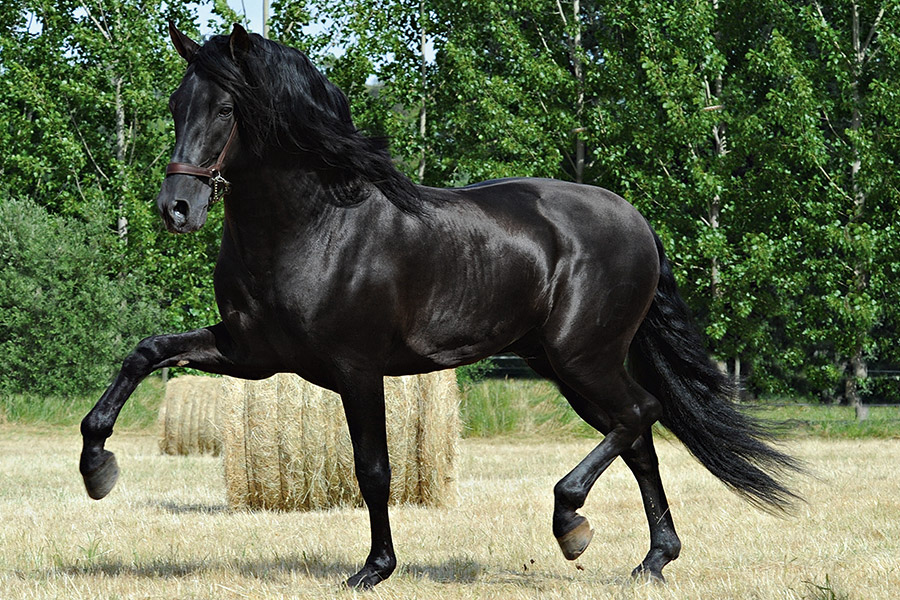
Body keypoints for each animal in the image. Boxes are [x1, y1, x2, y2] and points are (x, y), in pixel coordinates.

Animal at [79, 22, 800, 589]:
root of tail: (638, 223)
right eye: (178, 104)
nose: (177, 208)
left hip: (582, 356)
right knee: (639, 435)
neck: (316, 225)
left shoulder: (356, 370)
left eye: (228, 109)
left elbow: (374, 469)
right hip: (564, 365)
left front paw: (374, 569)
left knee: (639, 416)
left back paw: (572, 522)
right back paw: (652, 559)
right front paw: (96, 468)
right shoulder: (250, 355)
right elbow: (144, 353)